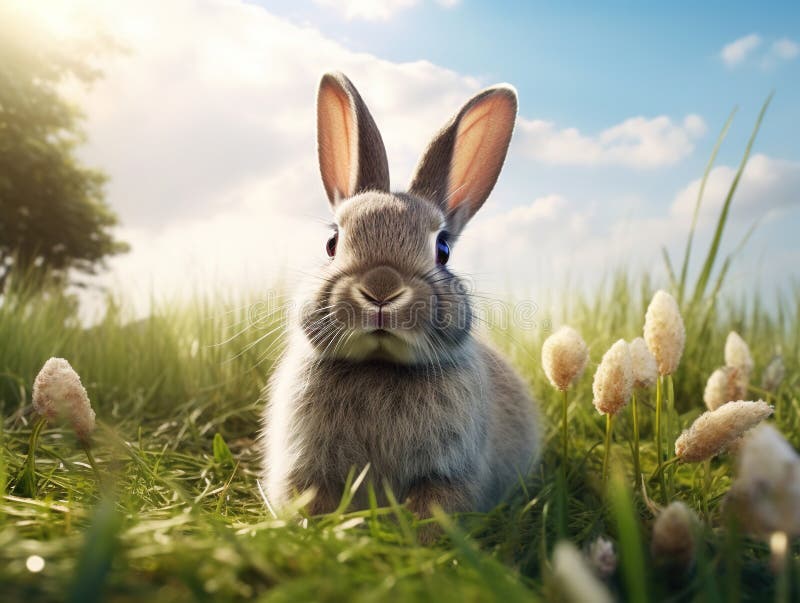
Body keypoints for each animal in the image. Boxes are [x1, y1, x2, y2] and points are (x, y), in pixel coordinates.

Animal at [260, 71, 540, 521]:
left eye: (443, 250)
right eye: (332, 243)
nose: (381, 289)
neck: (380, 365)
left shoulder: (449, 476)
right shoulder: (305, 470)